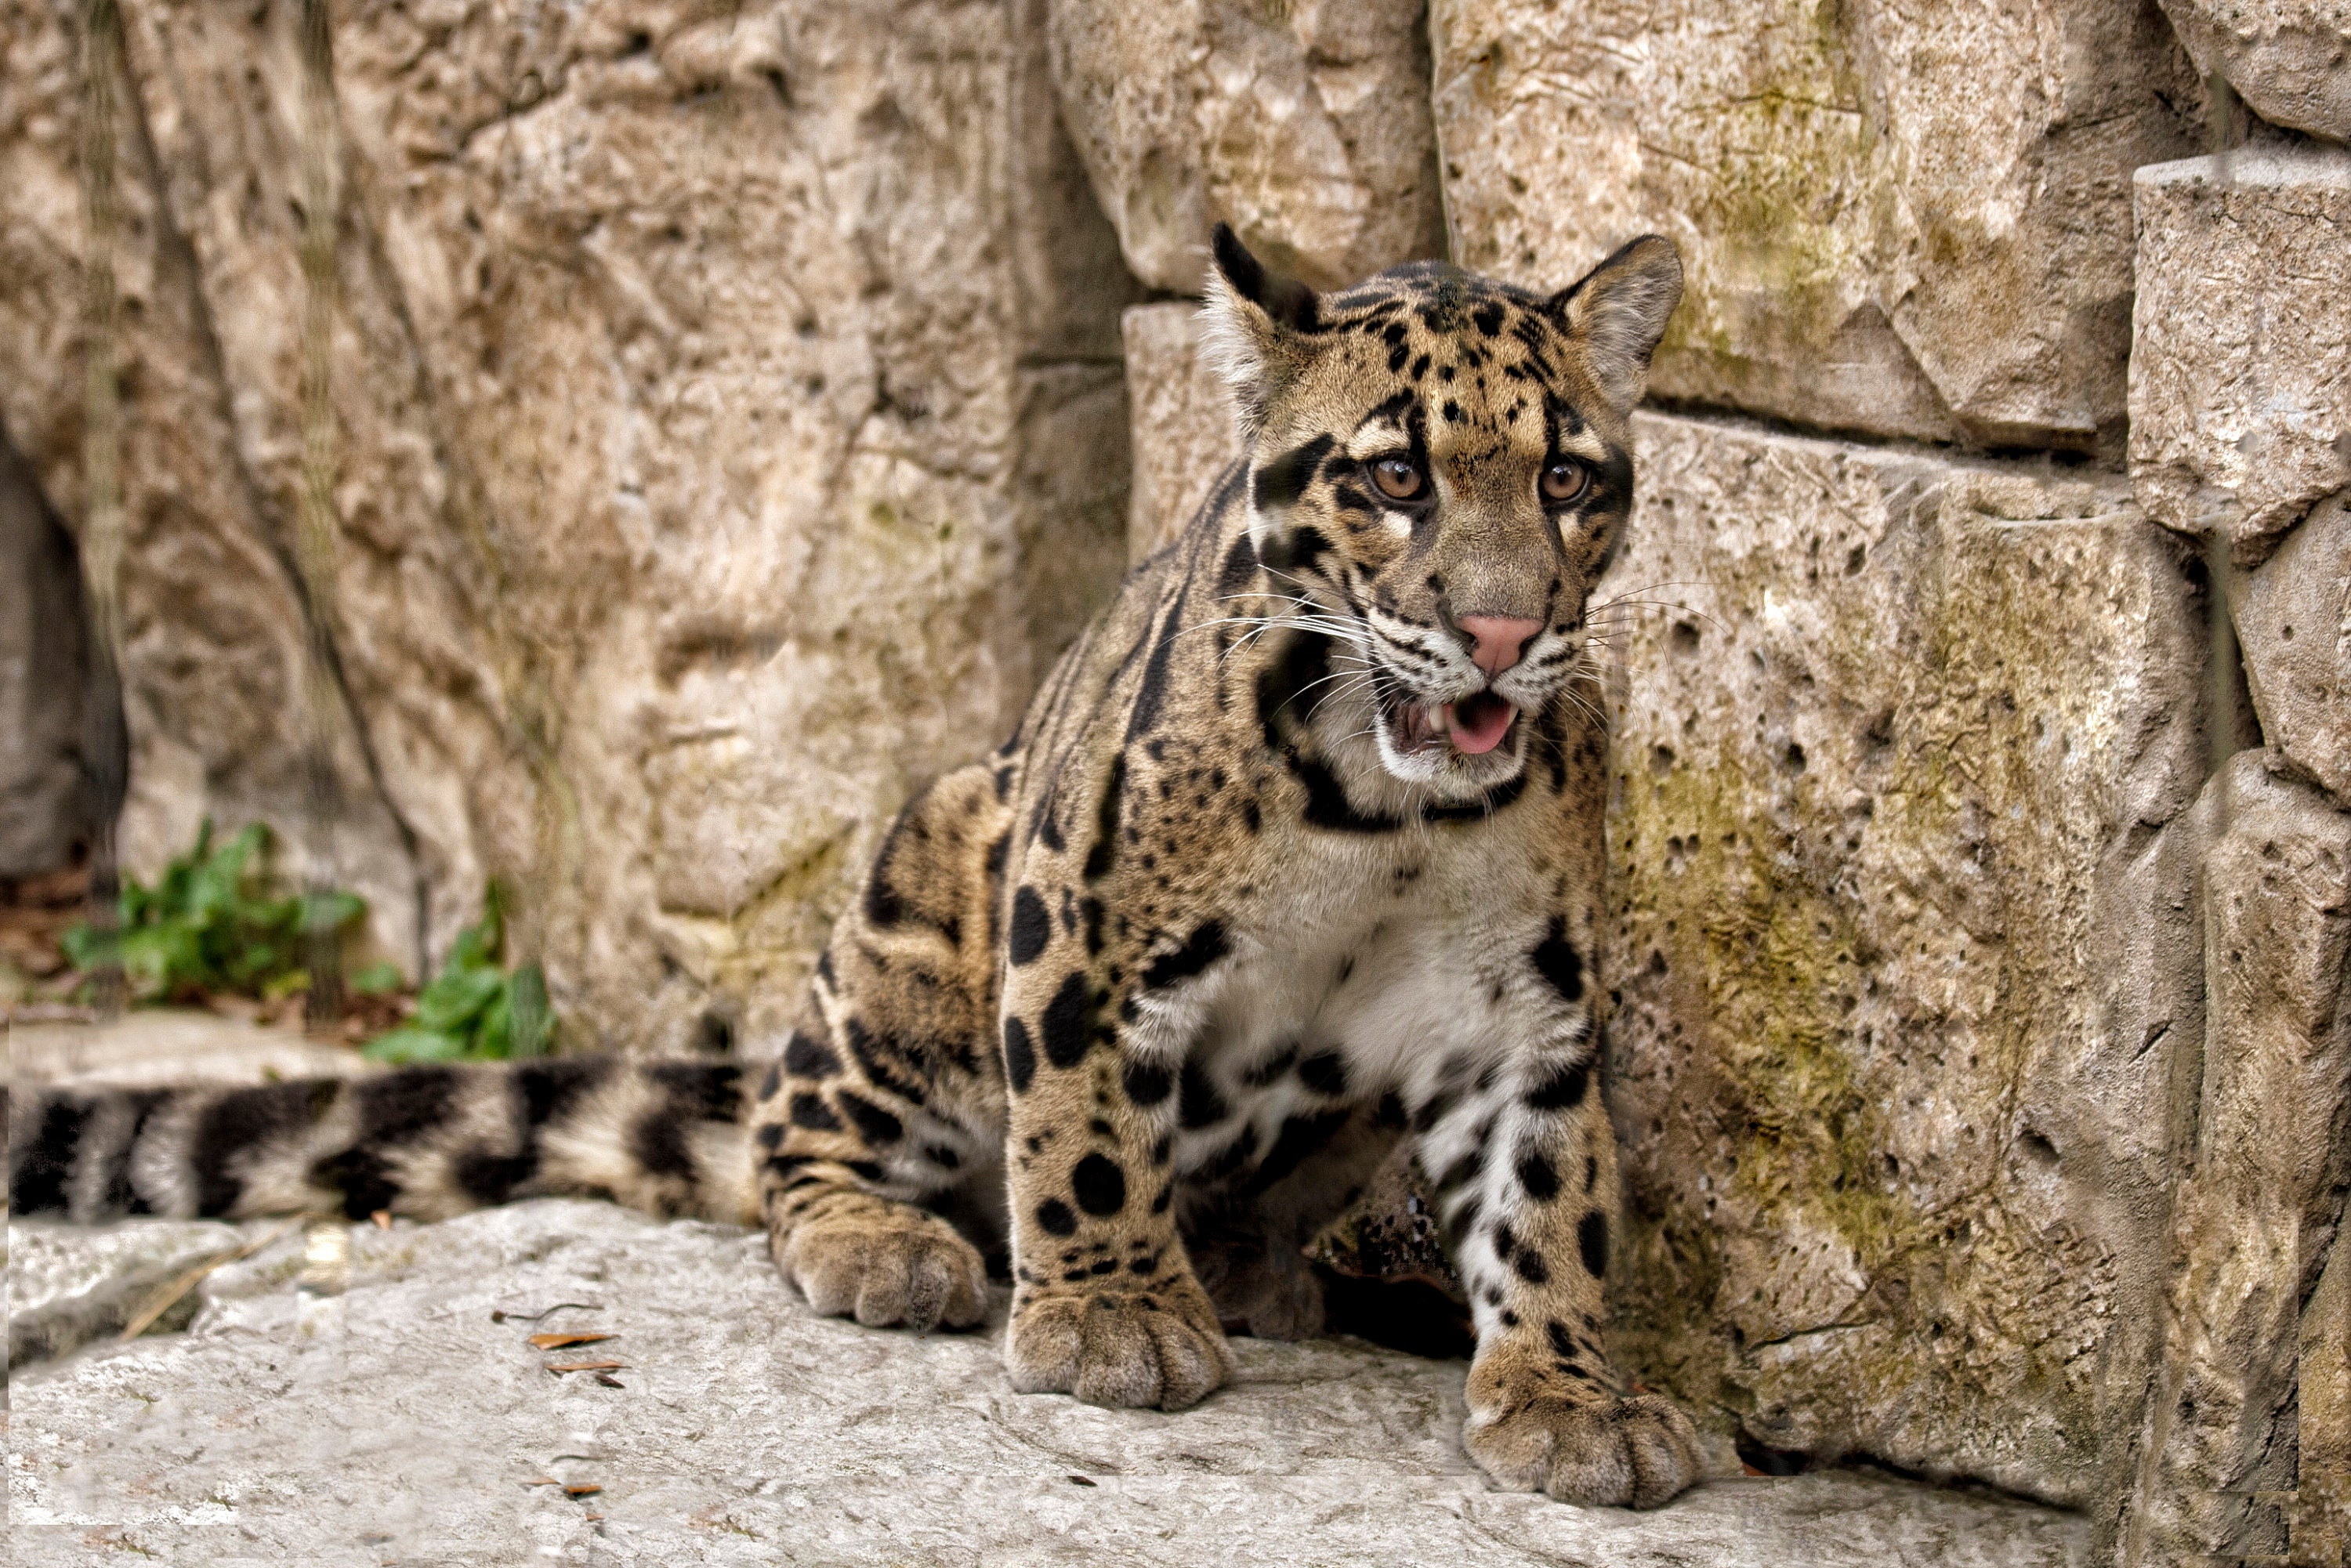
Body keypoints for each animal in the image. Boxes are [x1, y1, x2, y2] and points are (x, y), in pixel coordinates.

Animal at [9, 225, 1703, 1509]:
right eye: (1397, 479)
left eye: (1567, 482)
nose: (1503, 630)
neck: (1383, 815)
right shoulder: (1079, 918)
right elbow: (1087, 1135)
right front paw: (1110, 1315)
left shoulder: (1521, 1015)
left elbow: (1552, 1204)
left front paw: (1572, 1393)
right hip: (922, 880)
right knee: (792, 1147)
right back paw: (897, 1242)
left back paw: (1253, 1270)